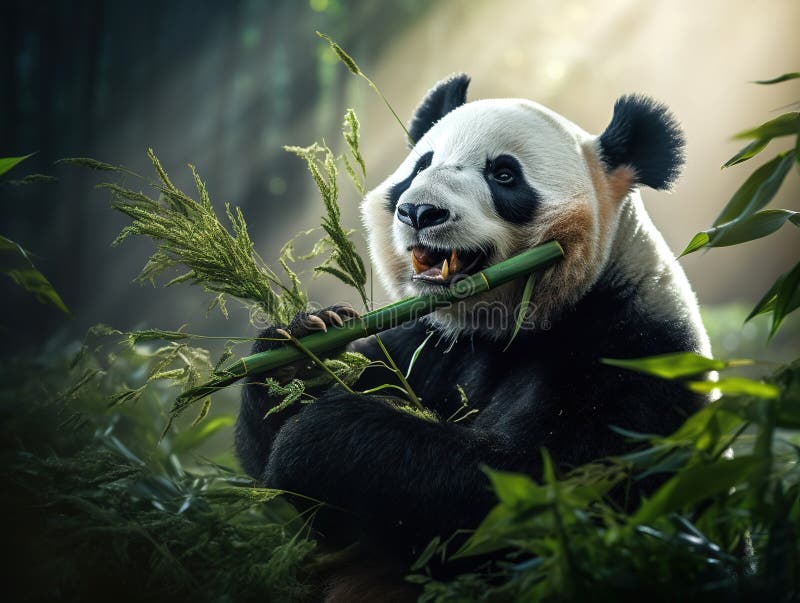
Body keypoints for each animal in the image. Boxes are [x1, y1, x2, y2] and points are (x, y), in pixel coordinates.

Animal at [236, 74, 709, 597]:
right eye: (422, 164)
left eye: (504, 174)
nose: (419, 211)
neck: (509, 323)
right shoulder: (427, 342)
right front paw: (297, 357)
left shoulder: (631, 357)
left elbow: (534, 495)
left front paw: (321, 439)